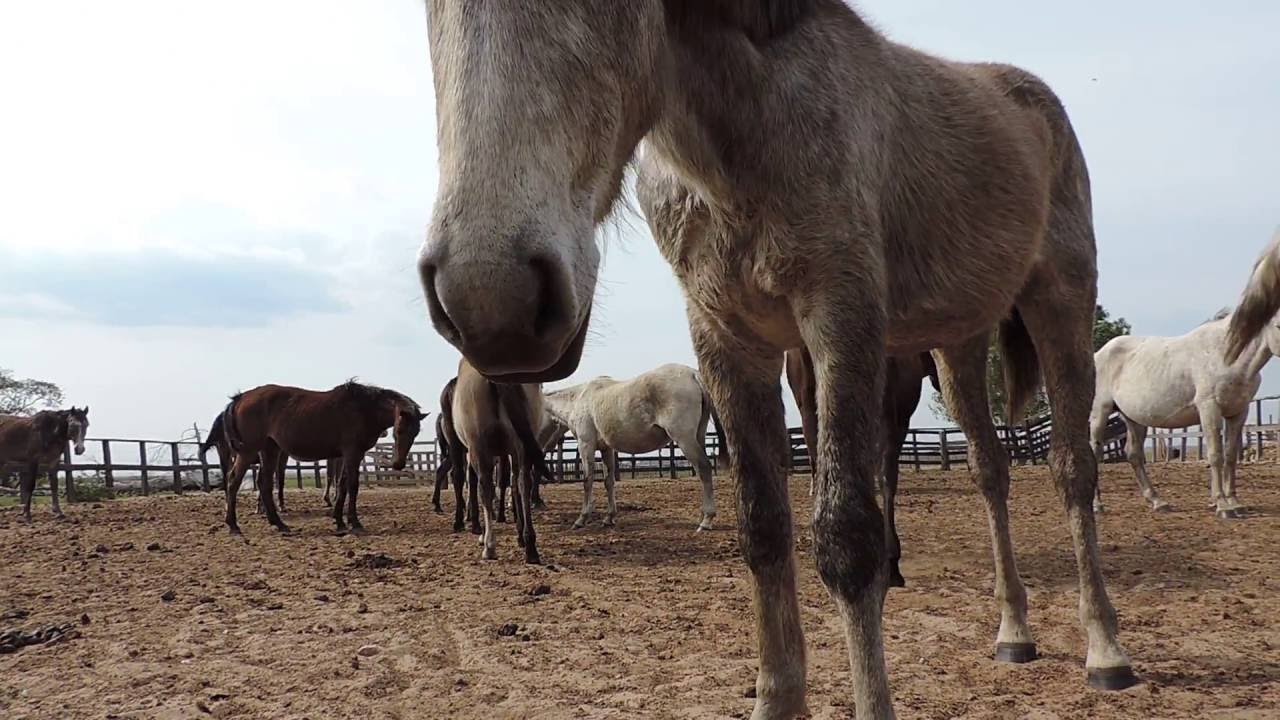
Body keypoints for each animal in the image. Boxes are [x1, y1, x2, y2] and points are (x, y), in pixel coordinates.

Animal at [217, 381, 425, 536]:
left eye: (416, 432)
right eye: (399, 430)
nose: (398, 463)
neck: (363, 409)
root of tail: (241, 398)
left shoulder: (346, 455)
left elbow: (342, 485)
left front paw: (340, 521)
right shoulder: (352, 452)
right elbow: (352, 485)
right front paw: (354, 522)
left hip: (269, 450)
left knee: (264, 483)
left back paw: (278, 524)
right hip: (249, 451)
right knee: (234, 481)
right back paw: (234, 525)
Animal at [450, 359, 552, 563]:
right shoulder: (511, 452)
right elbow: (512, 483)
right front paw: (520, 536)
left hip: (479, 447)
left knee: (486, 488)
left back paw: (489, 545)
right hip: (521, 446)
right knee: (523, 483)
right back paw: (530, 546)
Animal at [542, 363, 726, 531]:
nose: (543, 449)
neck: (578, 399)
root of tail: (694, 375)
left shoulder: (586, 444)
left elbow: (587, 480)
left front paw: (581, 519)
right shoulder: (606, 449)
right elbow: (609, 481)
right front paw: (609, 517)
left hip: (684, 439)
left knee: (704, 468)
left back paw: (706, 520)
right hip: (698, 437)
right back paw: (702, 515)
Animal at [1090, 307, 1275, 518]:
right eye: (1278, 325)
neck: (1226, 355)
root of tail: (1098, 353)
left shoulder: (1238, 412)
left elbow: (1230, 456)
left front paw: (1234, 503)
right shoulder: (1209, 408)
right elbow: (1215, 455)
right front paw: (1222, 506)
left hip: (1133, 419)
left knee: (1134, 454)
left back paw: (1158, 502)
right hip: (1100, 412)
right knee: (1095, 453)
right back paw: (1097, 505)